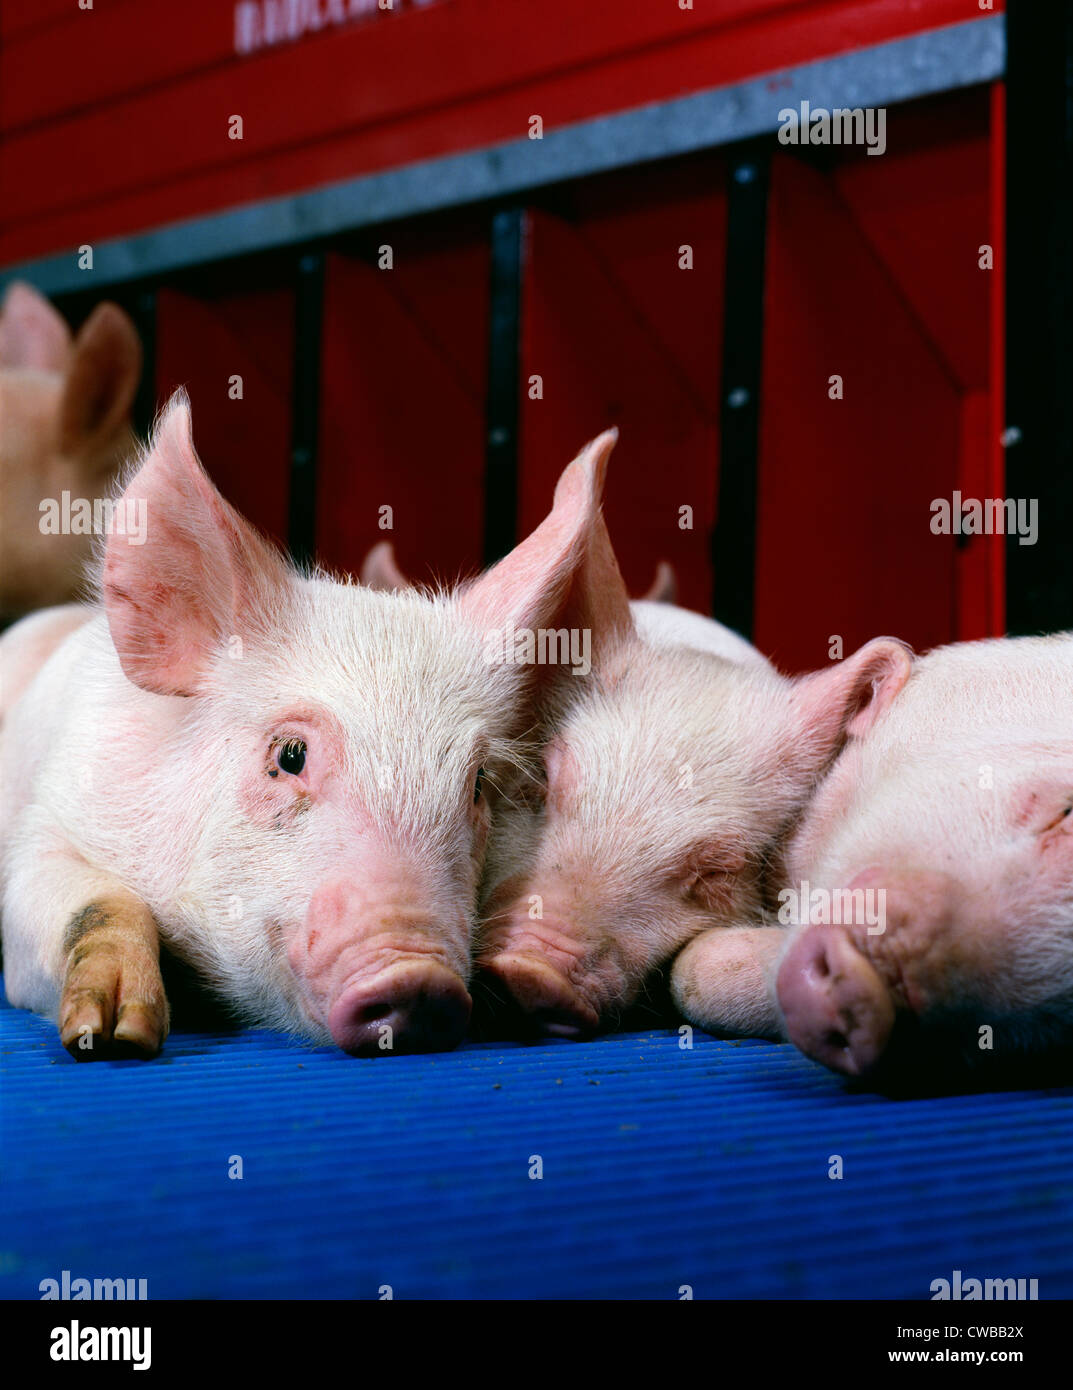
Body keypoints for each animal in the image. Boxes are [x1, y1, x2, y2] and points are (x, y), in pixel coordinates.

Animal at [0, 393, 613, 1059]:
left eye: (476, 785)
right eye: (290, 754)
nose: (419, 980)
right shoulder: (51, 823)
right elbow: (93, 903)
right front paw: (117, 1036)